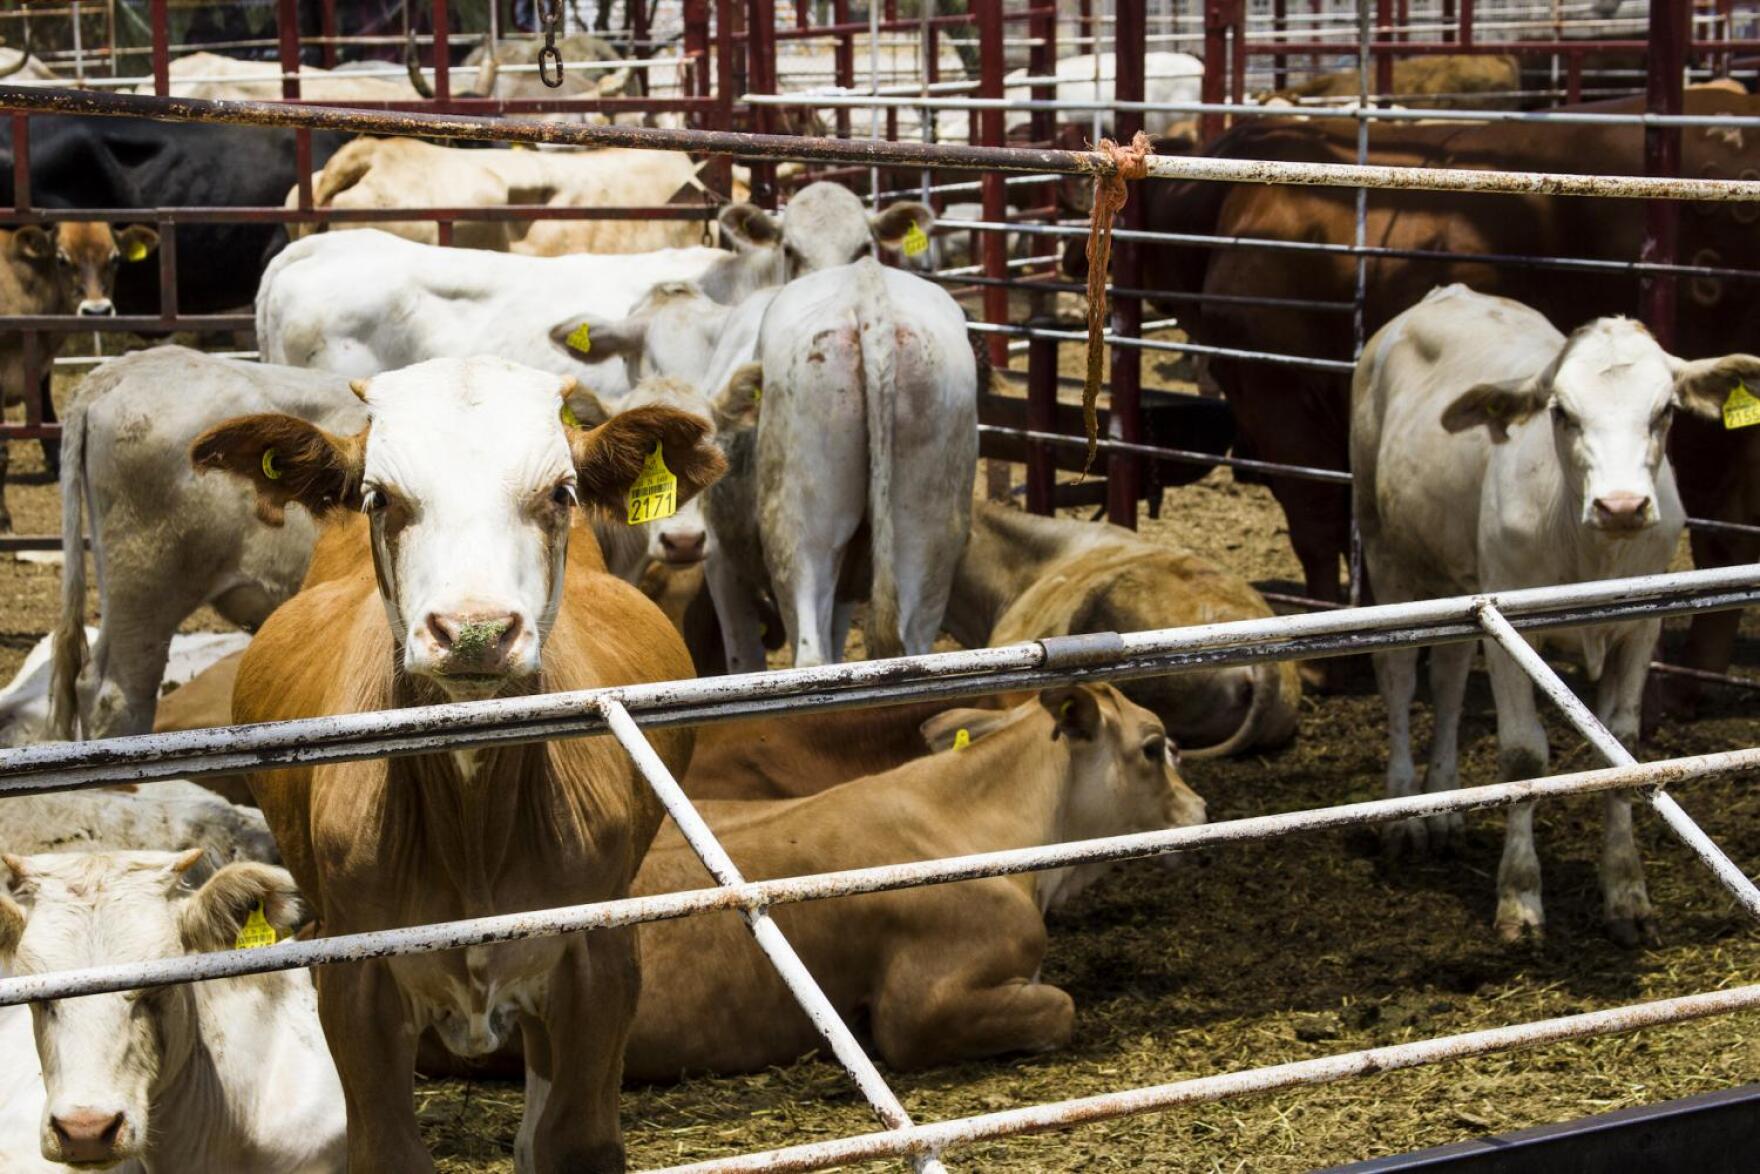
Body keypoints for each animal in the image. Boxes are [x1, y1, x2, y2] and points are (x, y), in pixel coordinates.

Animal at [190, 354, 725, 1169]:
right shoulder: (356, 980)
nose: (475, 631)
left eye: (561, 492)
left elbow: (574, 1139)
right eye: (377, 496)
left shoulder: (600, 961)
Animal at [1351, 285, 1760, 943]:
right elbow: (1523, 754)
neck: (1590, 549)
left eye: (1665, 411)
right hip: (1387, 551)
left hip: (1456, 574)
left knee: (1448, 677)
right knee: (1399, 678)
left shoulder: (1641, 630)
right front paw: (1519, 898)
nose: (1622, 505)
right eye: (1561, 412)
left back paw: (1444, 808)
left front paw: (1627, 895)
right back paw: (1406, 816)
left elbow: (1623, 747)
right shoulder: (1508, 623)